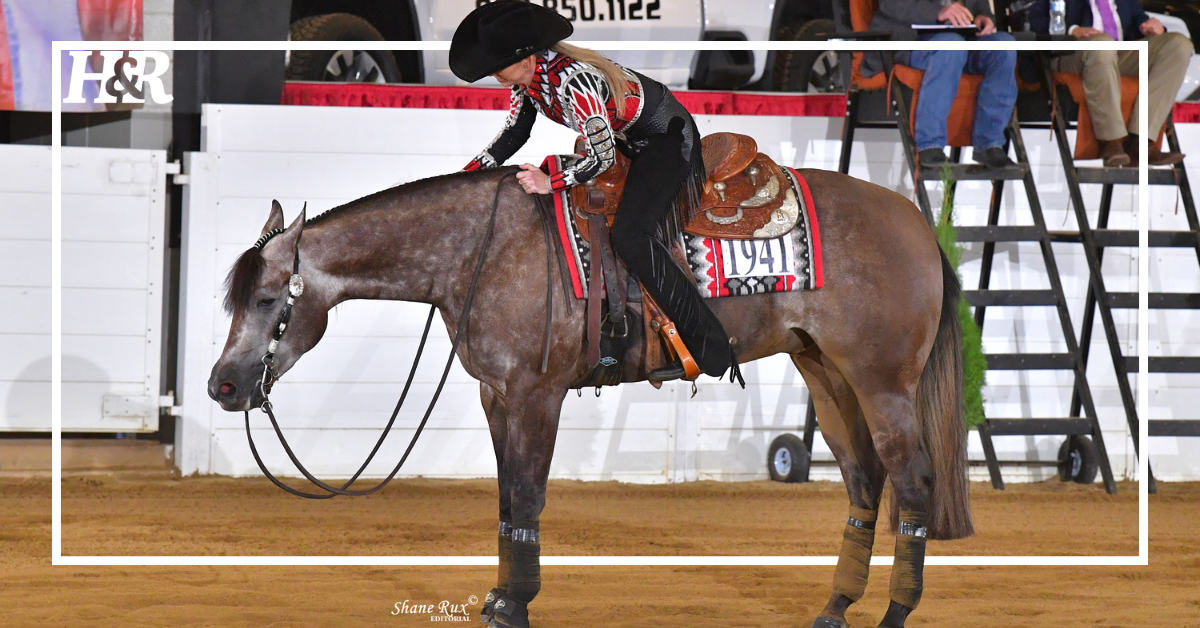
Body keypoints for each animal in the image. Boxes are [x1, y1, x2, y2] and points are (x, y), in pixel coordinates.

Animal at [207, 164, 972, 628]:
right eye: (234, 301)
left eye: (269, 299)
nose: (223, 385)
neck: (479, 249)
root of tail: (916, 226)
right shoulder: (497, 396)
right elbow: (508, 498)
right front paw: (499, 596)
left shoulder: (535, 393)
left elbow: (528, 495)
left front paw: (515, 603)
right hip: (825, 370)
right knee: (864, 482)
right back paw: (836, 606)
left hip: (882, 382)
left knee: (912, 482)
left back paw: (894, 613)